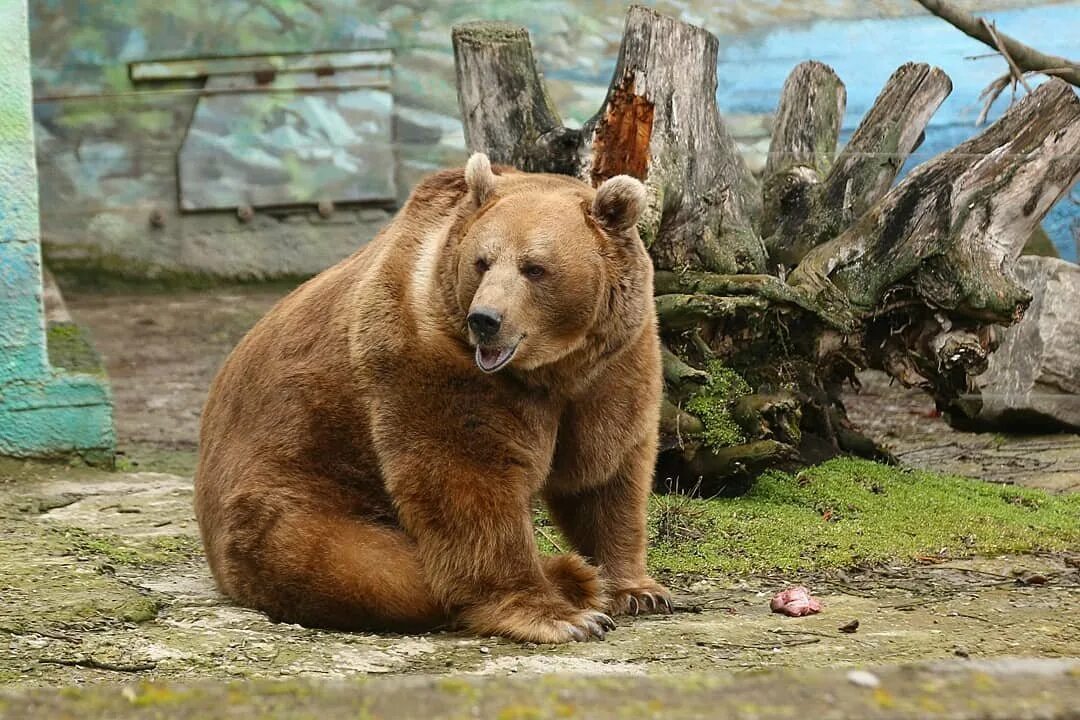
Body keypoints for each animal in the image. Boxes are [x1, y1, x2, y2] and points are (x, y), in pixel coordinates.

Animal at [194, 153, 670, 643]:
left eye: (534, 267)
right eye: (482, 261)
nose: (485, 320)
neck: (550, 369)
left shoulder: (614, 362)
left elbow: (605, 470)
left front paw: (638, 590)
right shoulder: (428, 356)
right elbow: (468, 479)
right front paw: (563, 617)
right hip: (291, 492)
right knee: (375, 571)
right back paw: (570, 577)